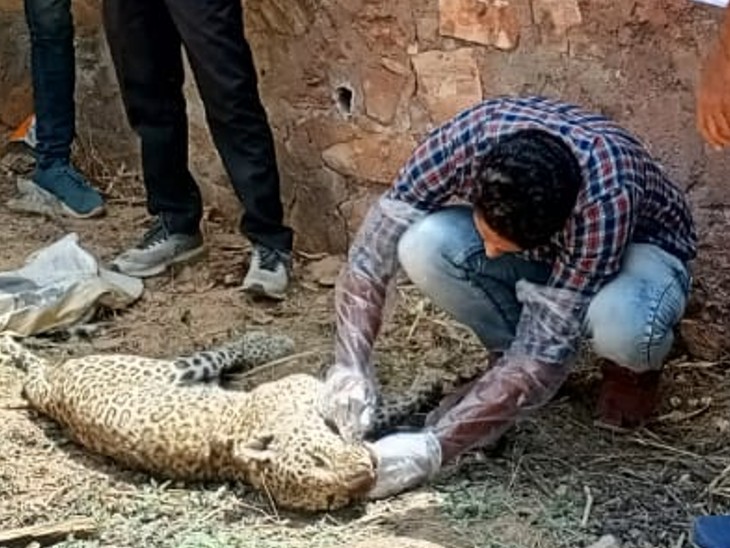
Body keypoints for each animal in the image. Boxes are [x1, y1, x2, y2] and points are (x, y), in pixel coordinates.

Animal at [0, 331, 446, 512]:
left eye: (319, 458)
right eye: (332, 500)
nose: (367, 477)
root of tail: (51, 381)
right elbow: (382, 411)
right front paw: (428, 383)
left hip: (162, 369)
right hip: (168, 370)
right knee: (220, 355)